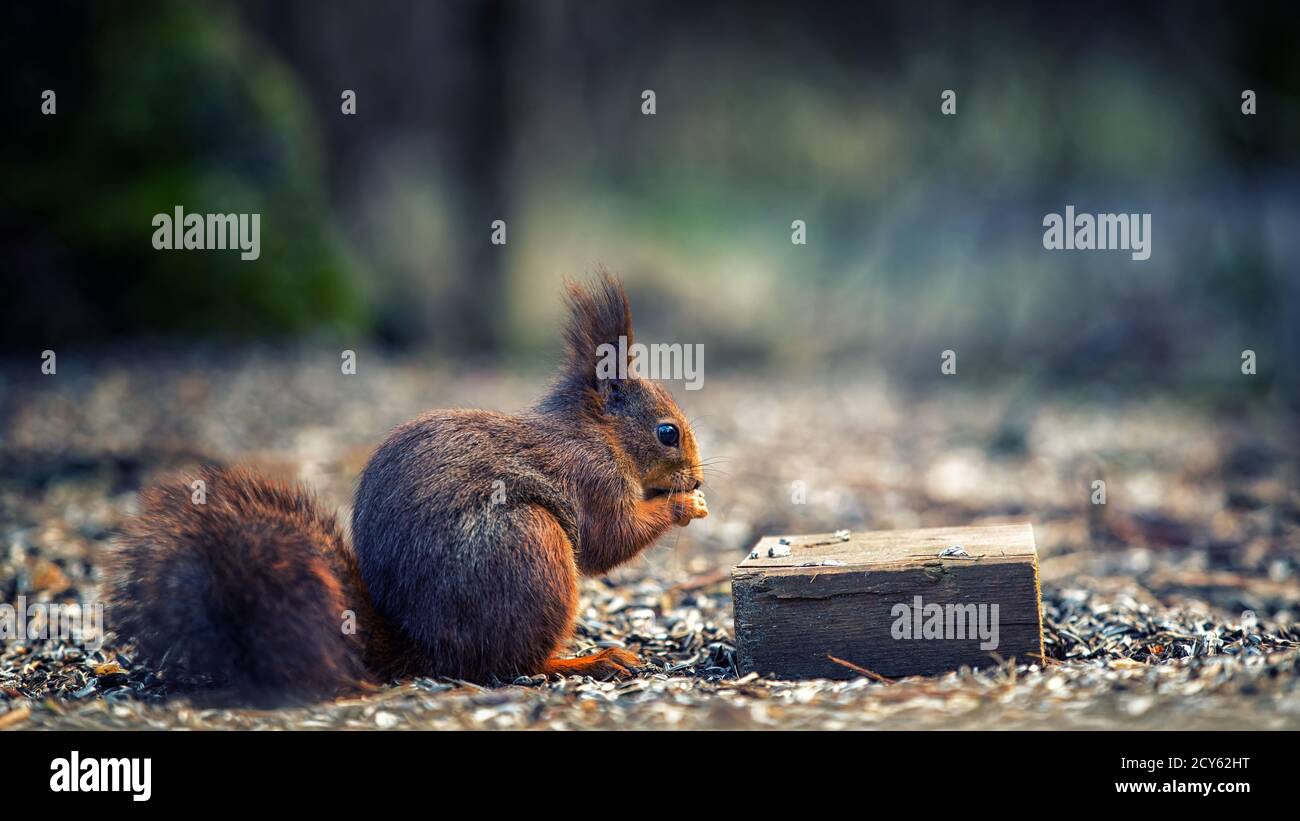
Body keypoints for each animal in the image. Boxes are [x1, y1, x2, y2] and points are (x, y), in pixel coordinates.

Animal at [104, 274, 708, 702]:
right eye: (667, 432)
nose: (700, 478)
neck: (597, 433)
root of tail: (426, 649)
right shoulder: (591, 479)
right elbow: (611, 538)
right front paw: (682, 504)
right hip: (530, 546)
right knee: (514, 665)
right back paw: (587, 661)